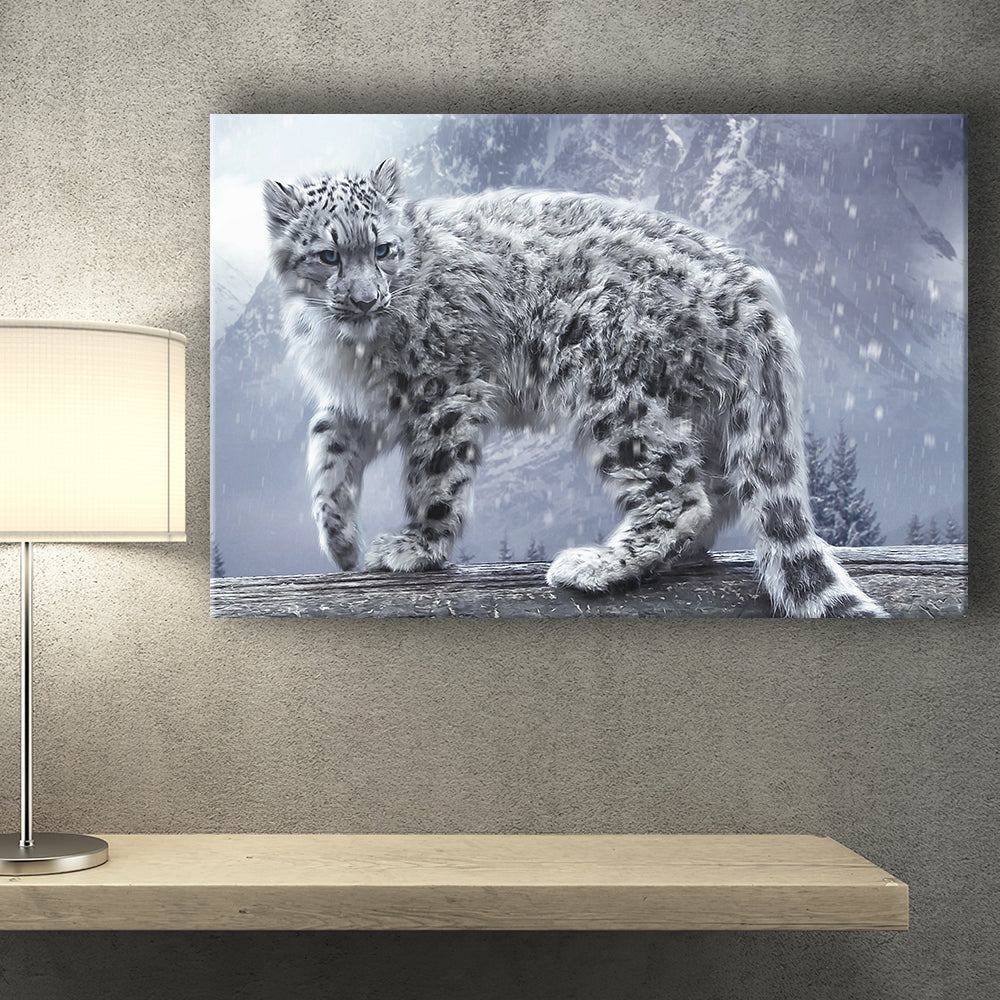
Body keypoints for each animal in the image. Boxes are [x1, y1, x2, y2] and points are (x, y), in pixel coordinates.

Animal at [263, 158, 887, 617]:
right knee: (723, 487)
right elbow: (326, 447)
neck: (349, 346)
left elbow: (433, 474)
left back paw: (597, 565)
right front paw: (340, 542)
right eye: (328, 255)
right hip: (701, 408)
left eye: (383, 249)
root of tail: (750, 290)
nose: (366, 298)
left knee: (682, 490)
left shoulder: (445, 390)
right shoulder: (361, 402)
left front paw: (415, 546)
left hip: (614, 393)